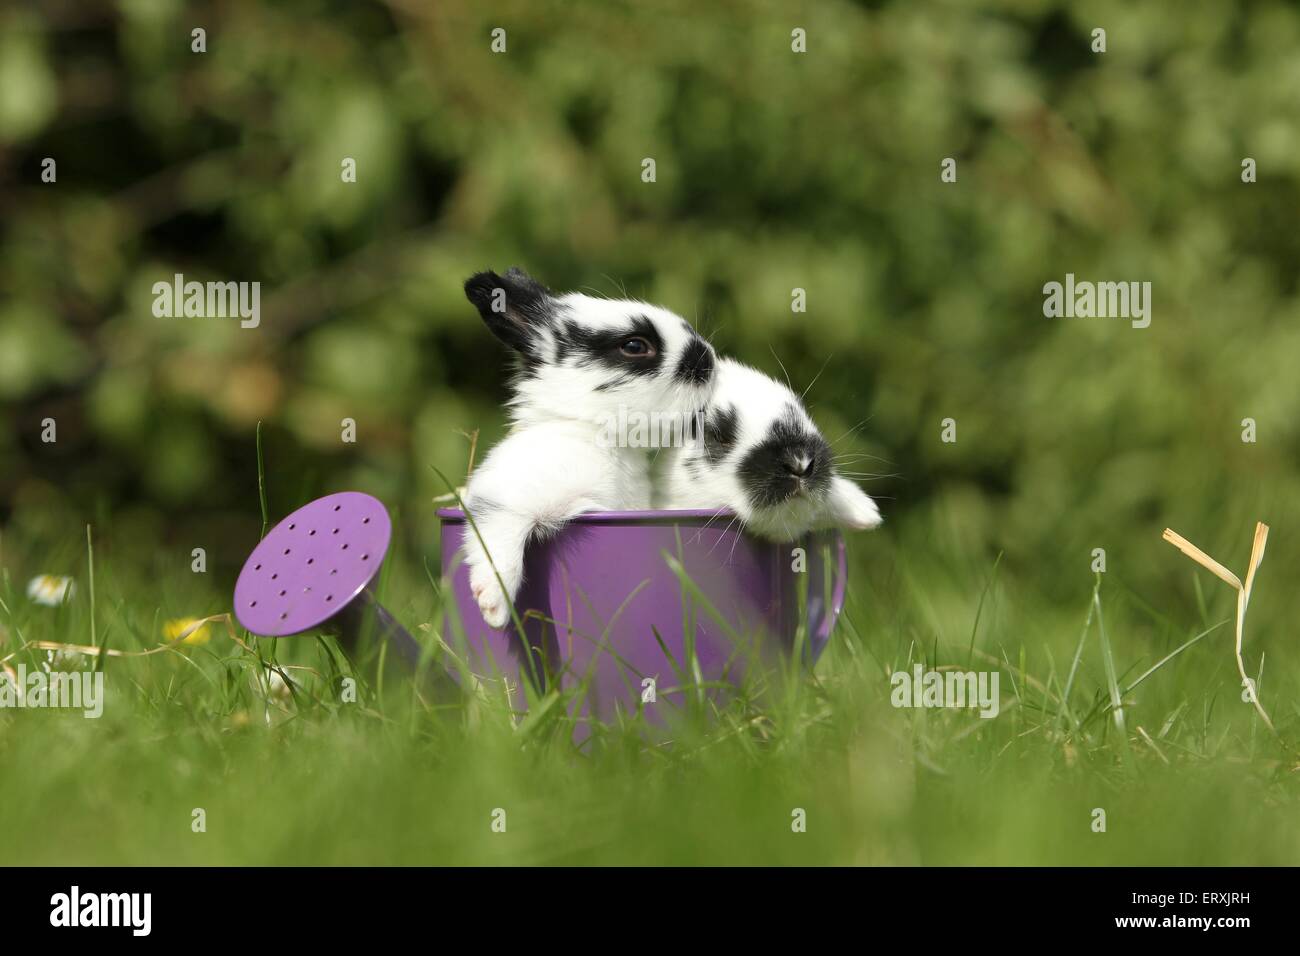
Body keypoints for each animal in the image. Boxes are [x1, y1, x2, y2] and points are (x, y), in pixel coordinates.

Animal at [458, 268, 717, 627]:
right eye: (635, 345)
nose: (709, 360)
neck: (601, 436)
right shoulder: (506, 496)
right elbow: (499, 539)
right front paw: (494, 608)